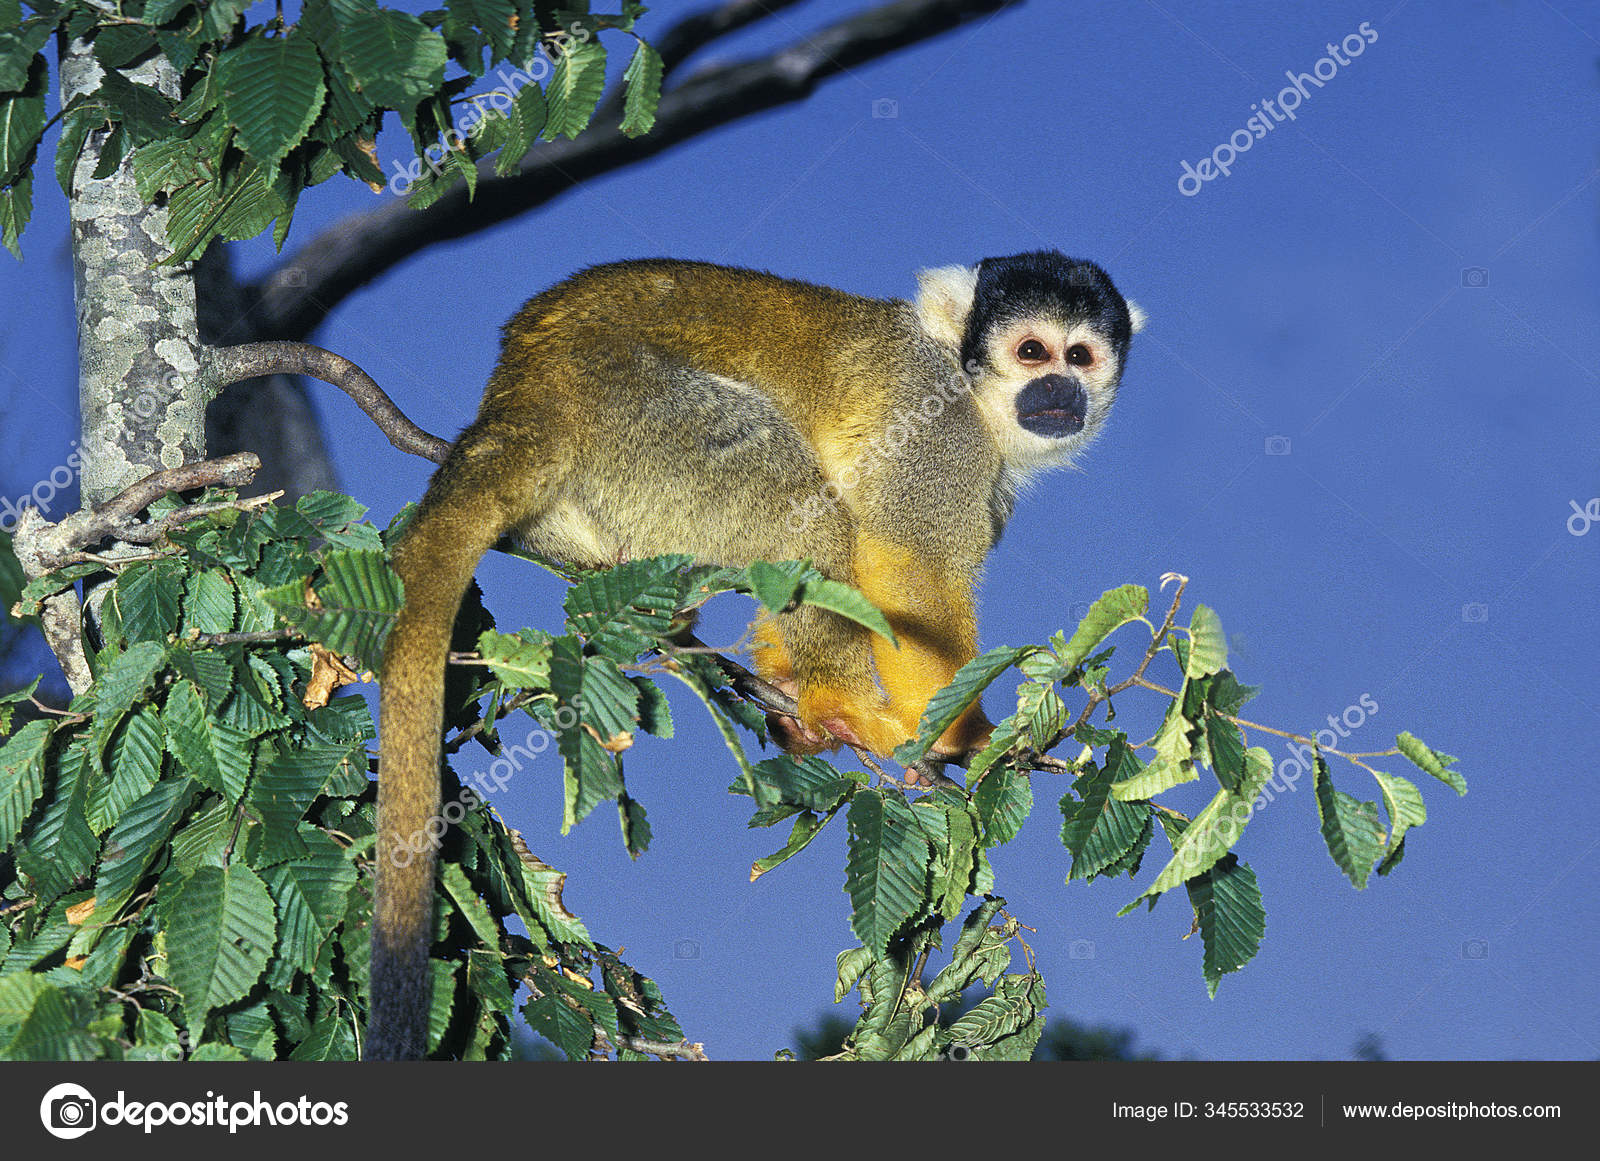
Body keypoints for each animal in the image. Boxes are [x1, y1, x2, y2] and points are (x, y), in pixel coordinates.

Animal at [367, 252, 1143, 1059]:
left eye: (1081, 357)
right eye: (1033, 351)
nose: (1060, 392)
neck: (977, 400)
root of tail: (525, 390)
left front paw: (792, 682)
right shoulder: (941, 435)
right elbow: (910, 570)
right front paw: (964, 734)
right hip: (645, 417)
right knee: (800, 505)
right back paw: (841, 700)